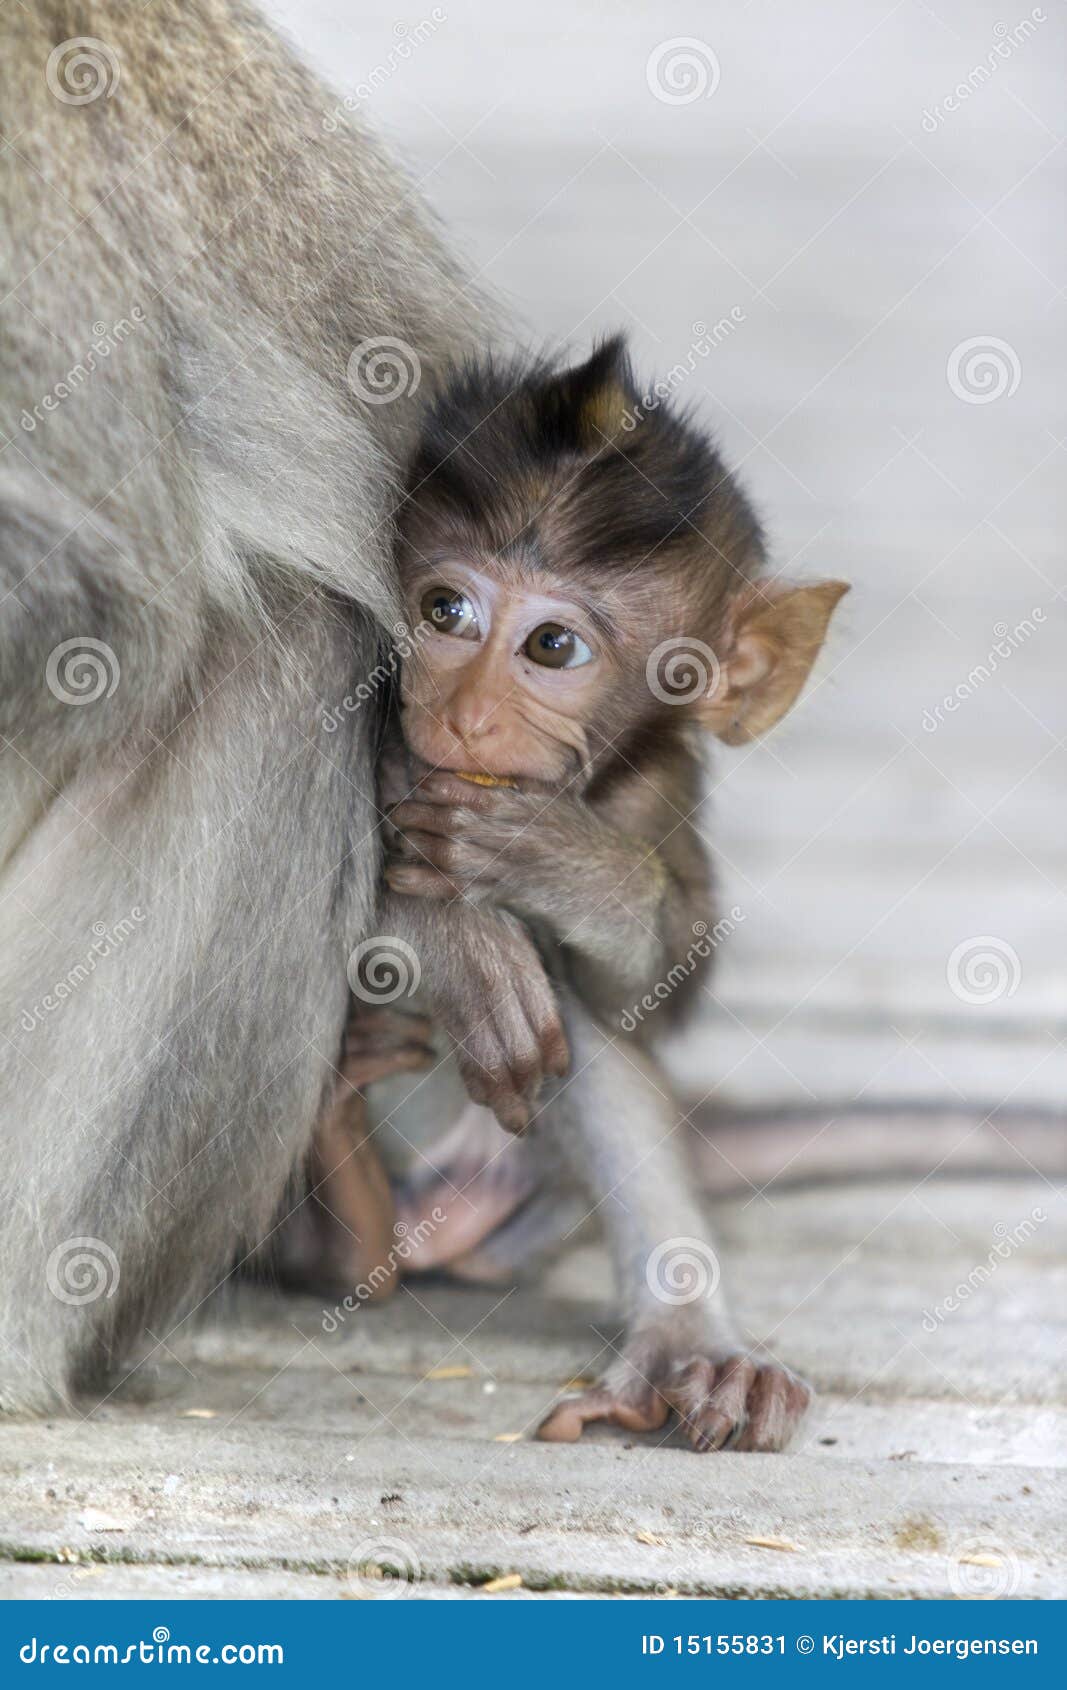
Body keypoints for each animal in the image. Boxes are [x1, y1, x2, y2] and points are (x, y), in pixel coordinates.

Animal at [302, 337, 848, 1451]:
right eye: (444, 612)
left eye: (551, 647)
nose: (463, 715)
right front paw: (453, 933)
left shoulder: (655, 792)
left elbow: (650, 994)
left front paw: (556, 863)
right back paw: (347, 1195)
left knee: (579, 1026)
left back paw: (688, 1347)